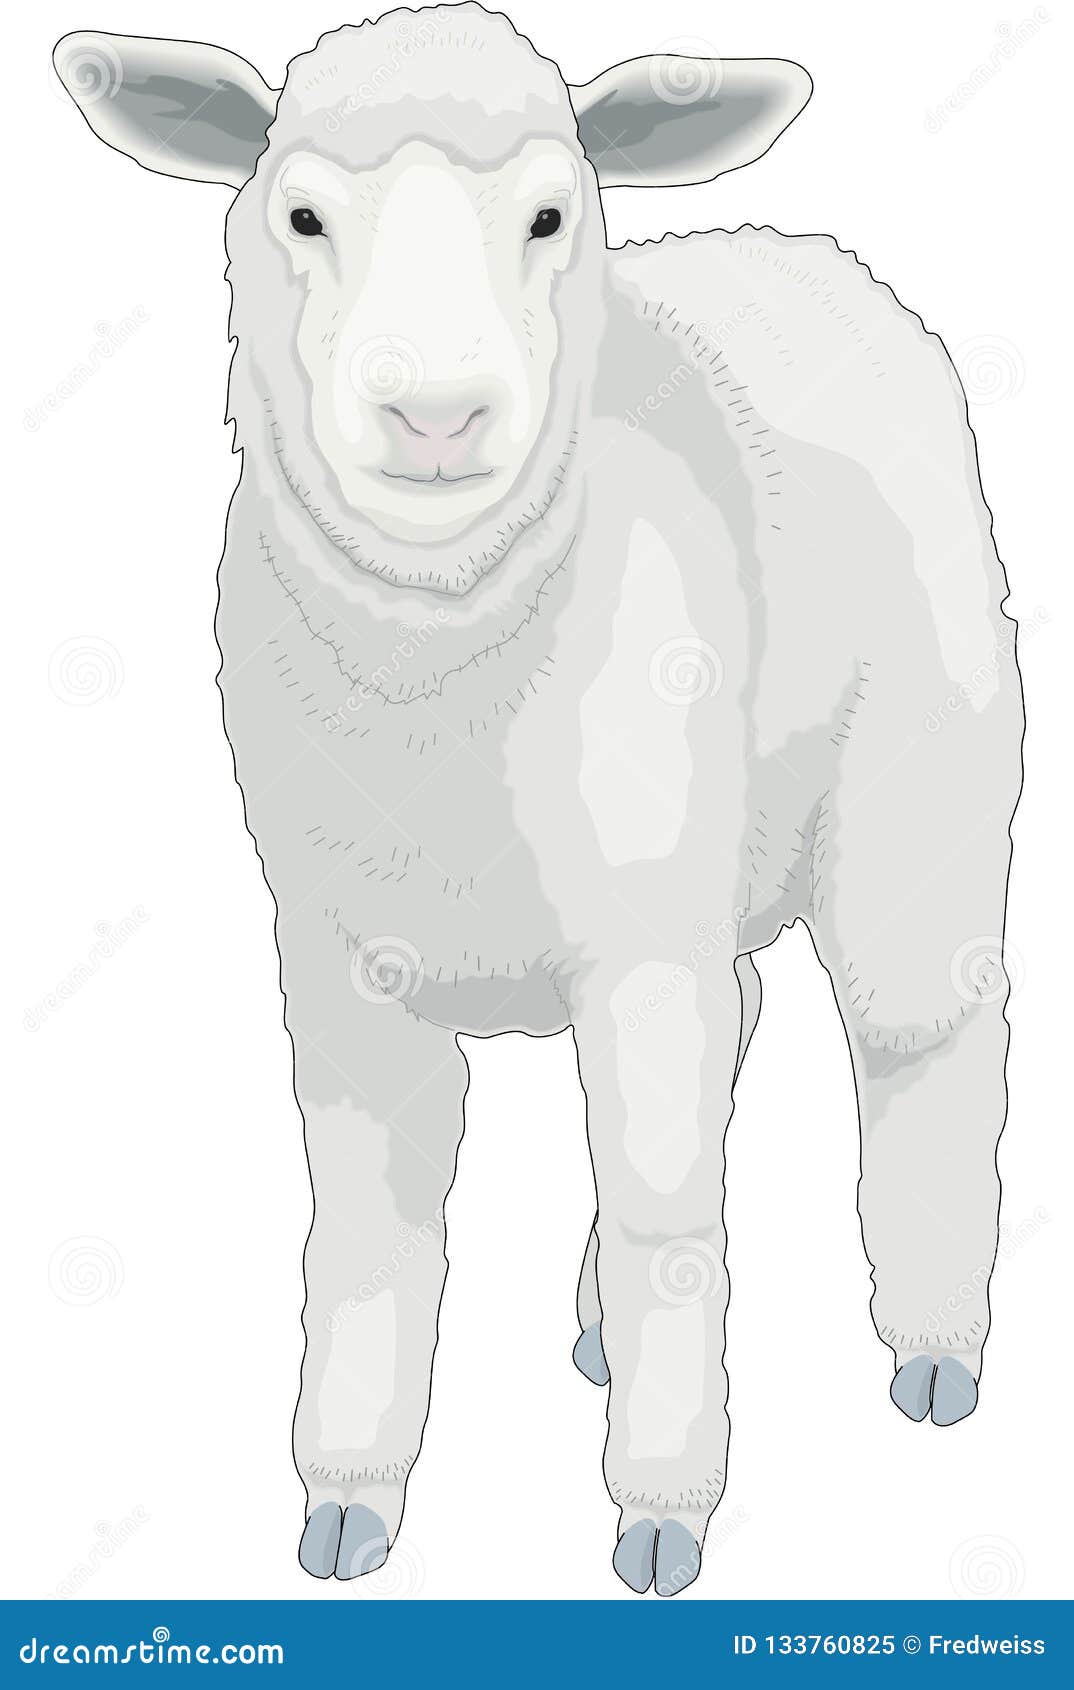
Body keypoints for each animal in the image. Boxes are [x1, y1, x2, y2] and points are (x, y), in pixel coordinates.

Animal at [54, 2, 1023, 1596]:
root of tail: (808, 247)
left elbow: (663, 1209)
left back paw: (934, 1348)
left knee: (919, 1023)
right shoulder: (340, 957)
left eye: (551, 215)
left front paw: (661, 1515)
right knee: (744, 1010)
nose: (436, 414)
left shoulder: (635, 937)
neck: (437, 677)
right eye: (300, 215)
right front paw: (348, 1502)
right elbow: (369, 1235)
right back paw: (600, 1330)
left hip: (917, 765)